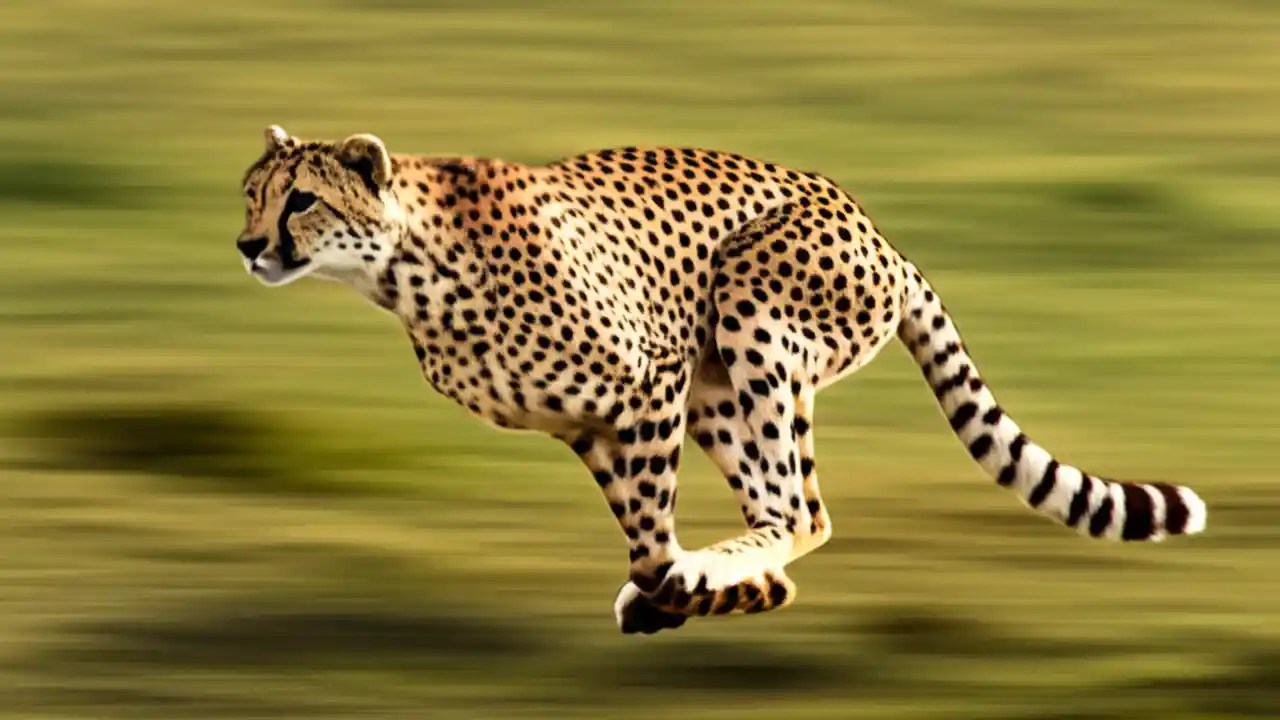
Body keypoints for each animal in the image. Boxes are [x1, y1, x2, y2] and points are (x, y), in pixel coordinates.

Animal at [236, 125, 1207, 635]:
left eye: (302, 199)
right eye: (252, 193)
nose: (248, 244)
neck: (407, 270)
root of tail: (874, 226)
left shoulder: (648, 380)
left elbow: (651, 539)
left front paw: (686, 588)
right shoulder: (589, 425)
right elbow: (640, 525)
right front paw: (694, 591)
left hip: (750, 310)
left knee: (799, 509)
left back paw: (719, 573)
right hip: (717, 389)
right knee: (795, 510)